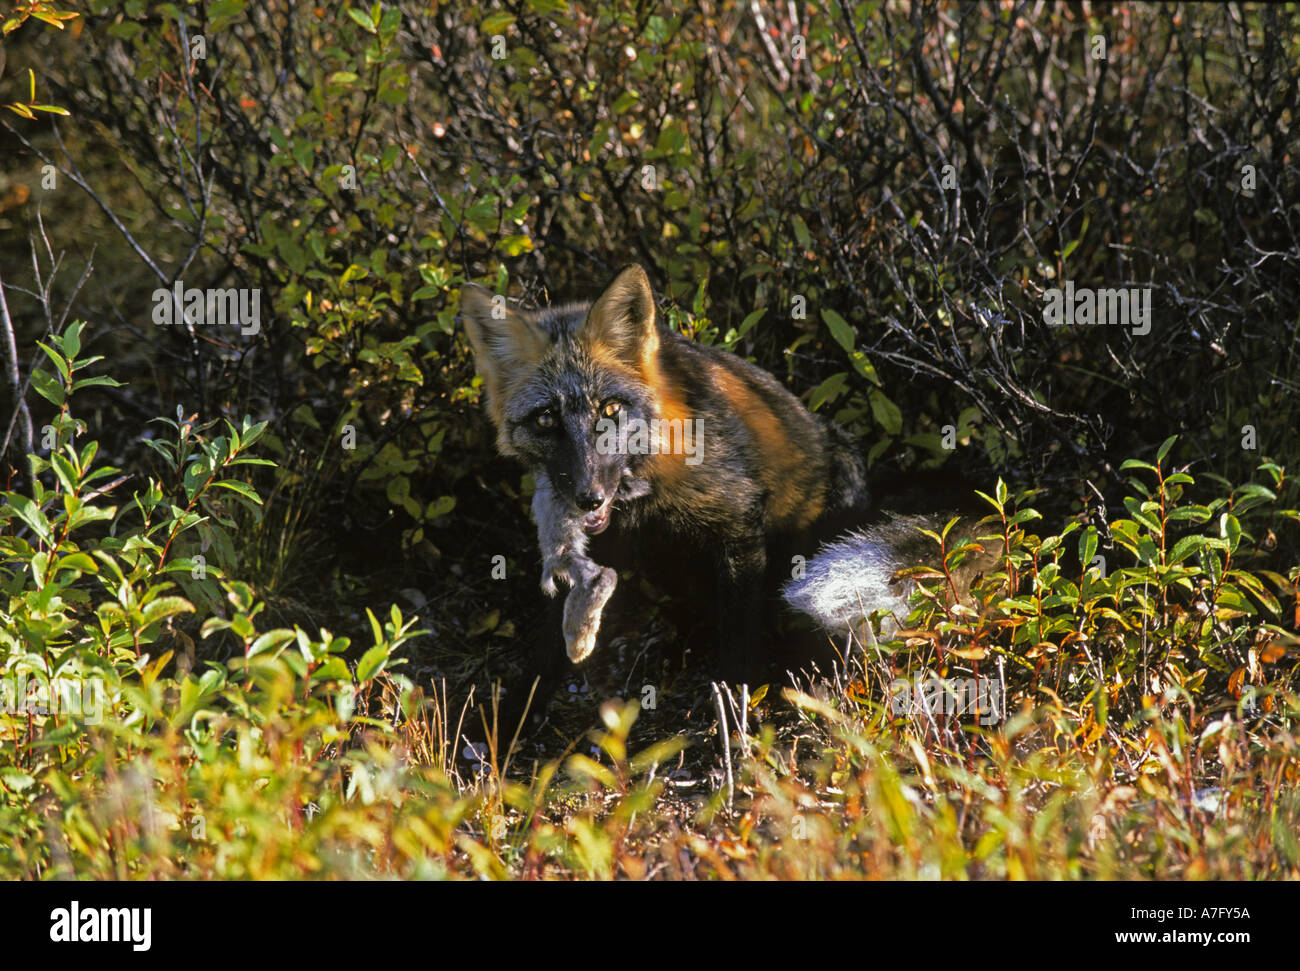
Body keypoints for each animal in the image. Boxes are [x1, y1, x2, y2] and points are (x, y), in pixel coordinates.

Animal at [460, 264, 995, 736]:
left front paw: (735, 720)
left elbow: (739, 642)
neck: (649, 492)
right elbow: (547, 651)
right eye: (546, 419)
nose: (587, 498)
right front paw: (506, 731)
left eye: (609, 410)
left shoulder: (738, 524)